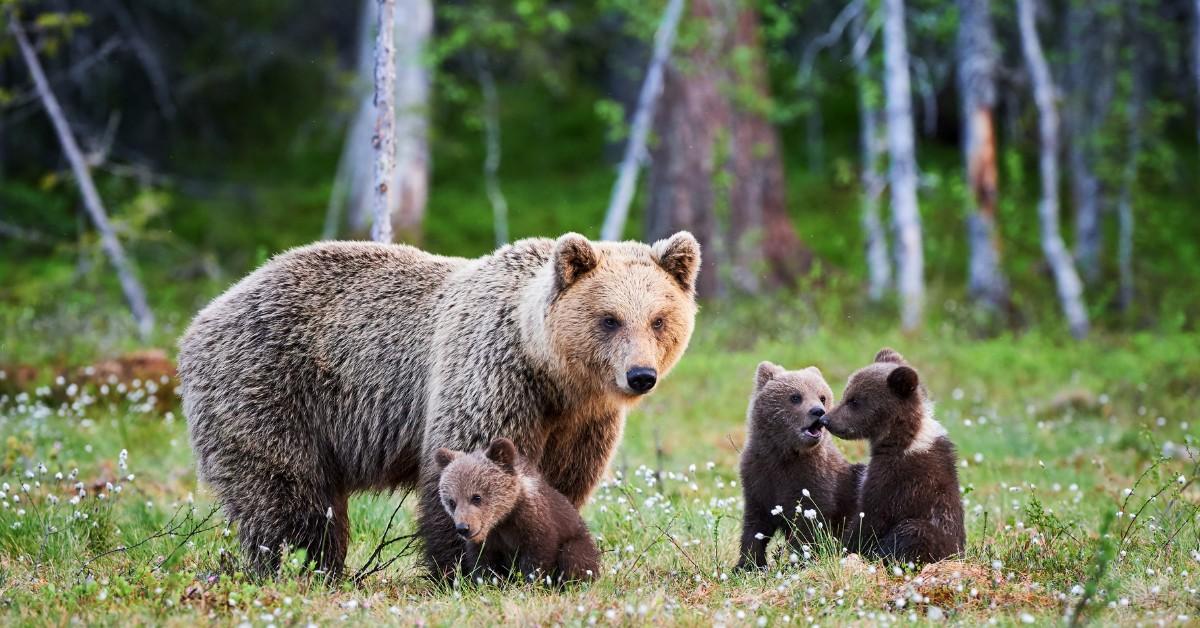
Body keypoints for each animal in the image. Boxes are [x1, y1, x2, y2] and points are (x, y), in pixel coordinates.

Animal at [434, 437, 601, 584]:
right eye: (452, 502)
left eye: (476, 497)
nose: (463, 527)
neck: (503, 519)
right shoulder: (488, 542)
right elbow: (483, 564)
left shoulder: (536, 524)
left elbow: (538, 557)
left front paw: (531, 583)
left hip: (579, 540)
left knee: (574, 555)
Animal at [736, 362, 865, 571]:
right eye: (795, 397)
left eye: (822, 397)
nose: (818, 411)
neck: (784, 455)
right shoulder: (758, 478)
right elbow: (755, 524)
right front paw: (747, 564)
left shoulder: (814, 480)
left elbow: (808, 525)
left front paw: (797, 560)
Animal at [820, 348, 965, 565]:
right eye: (847, 394)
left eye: (855, 400)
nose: (826, 419)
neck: (902, 440)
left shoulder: (898, 480)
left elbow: (871, 517)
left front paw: (840, 547)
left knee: (914, 531)